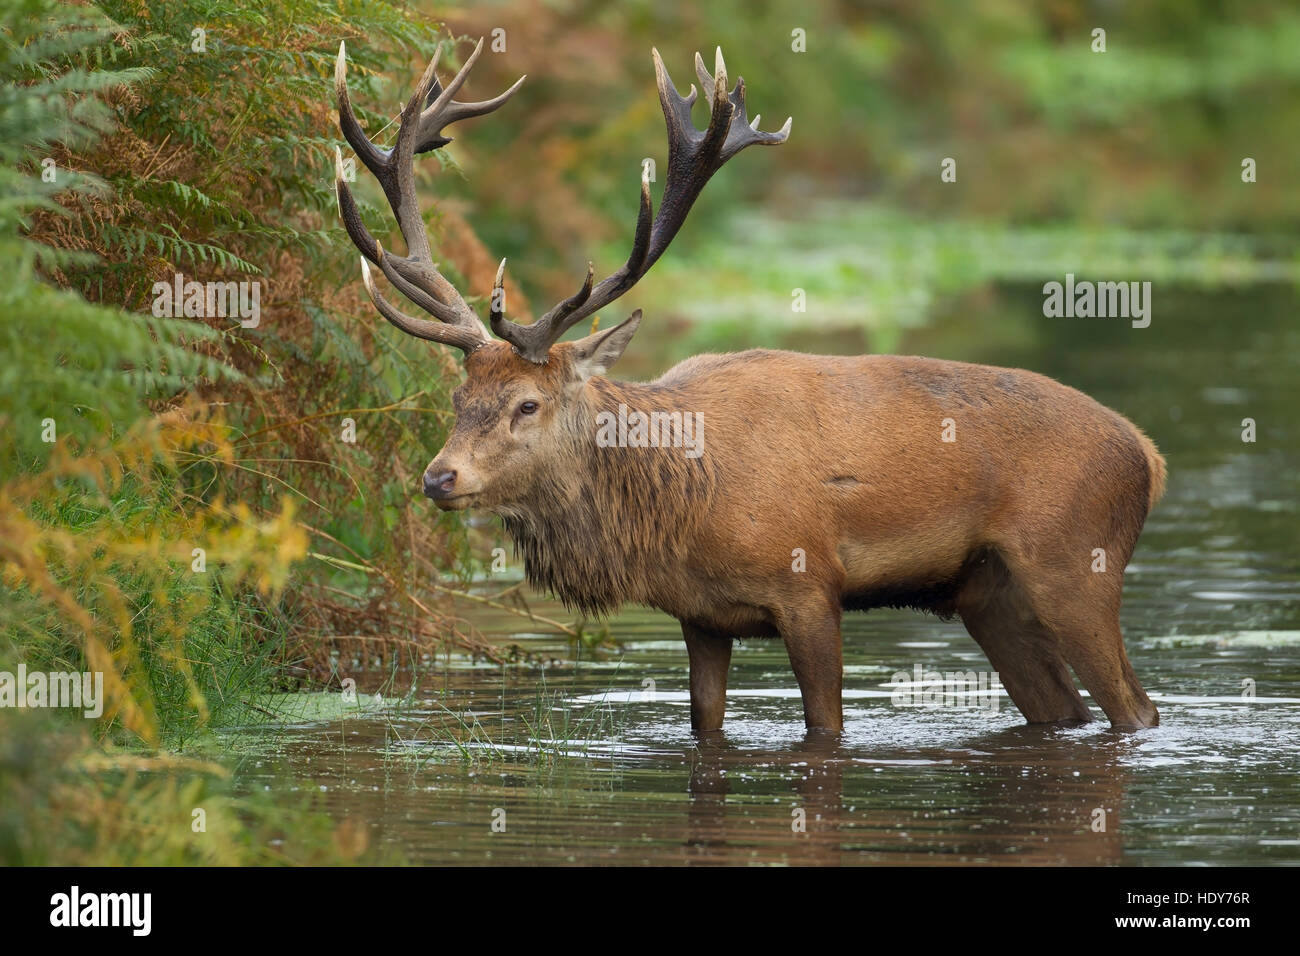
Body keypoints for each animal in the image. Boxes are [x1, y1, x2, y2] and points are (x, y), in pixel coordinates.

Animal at [332, 38, 1165, 734]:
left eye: (527, 404)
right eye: (457, 401)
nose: (440, 477)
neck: (682, 502)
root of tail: (1148, 457)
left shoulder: (809, 585)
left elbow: (824, 729)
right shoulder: (699, 617)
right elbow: (705, 725)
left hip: (1076, 563)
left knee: (1137, 708)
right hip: (988, 595)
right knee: (1064, 709)